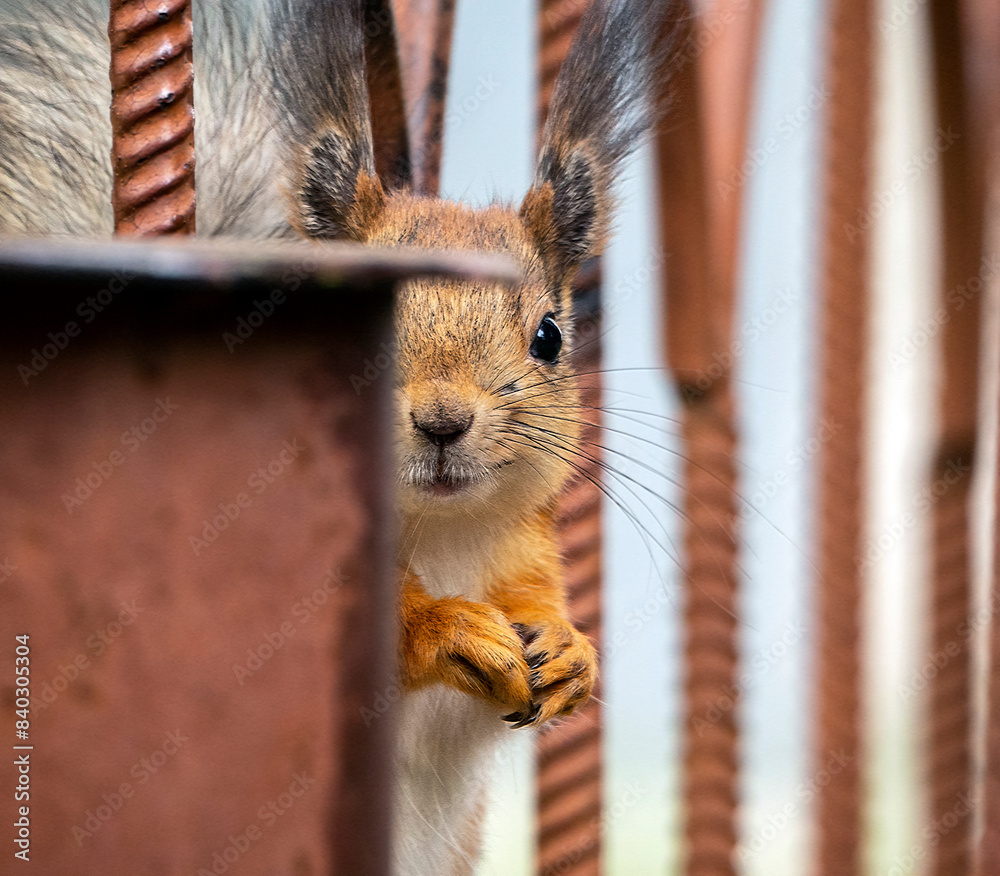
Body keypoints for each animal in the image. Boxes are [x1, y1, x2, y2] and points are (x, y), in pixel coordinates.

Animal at [0, 0, 669, 872]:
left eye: (549, 336)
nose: (443, 421)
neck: (444, 532)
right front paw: (451, 628)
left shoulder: (526, 555)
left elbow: (533, 619)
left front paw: (569, 652)